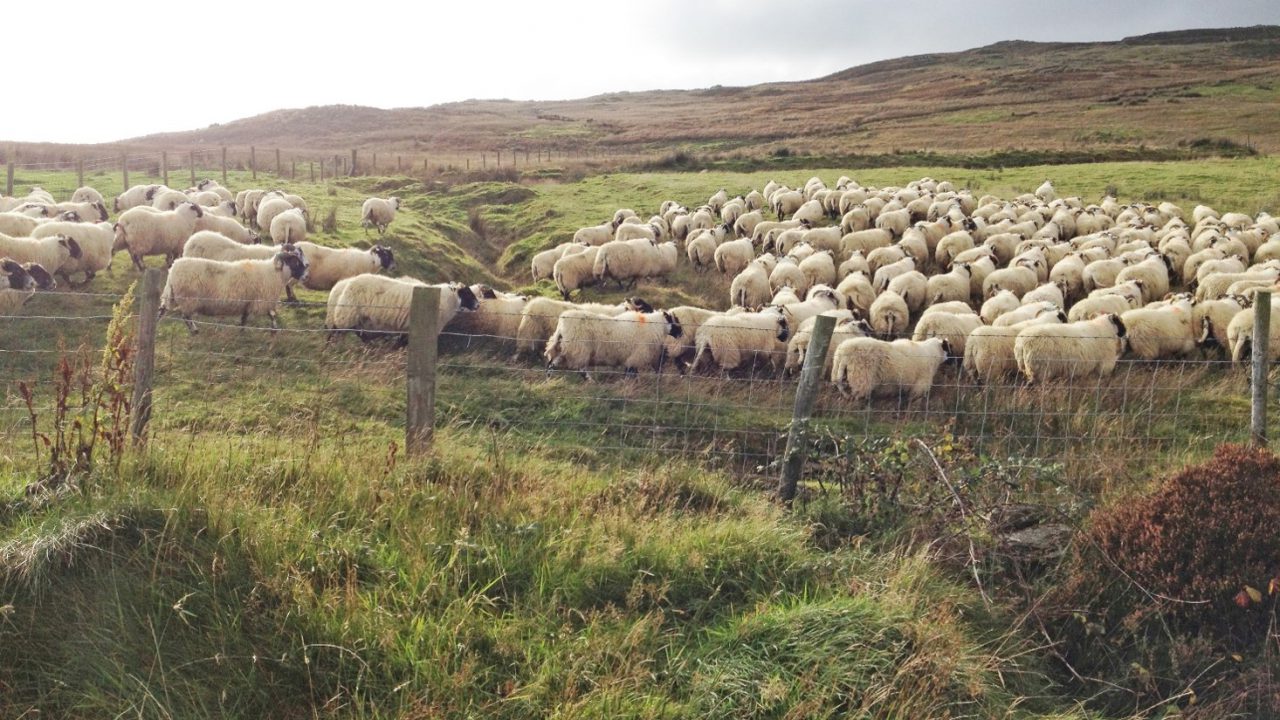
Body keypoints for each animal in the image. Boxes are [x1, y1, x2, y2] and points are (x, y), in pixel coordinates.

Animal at [160, 251, 309, 333]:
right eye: (295, 262)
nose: (306, 276)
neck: (275, 274)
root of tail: (173, 269)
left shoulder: (248, 302)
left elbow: (245, 317)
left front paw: (242, 330)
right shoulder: (261, 299)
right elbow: (271, 315)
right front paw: (274, 329)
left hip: (173, 296)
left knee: (163, 309)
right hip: (188, 299)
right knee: (185, 316)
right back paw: (194, 330)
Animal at [325, 275, 479, 342]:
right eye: (466, 293)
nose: (478, 305)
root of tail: (345, 284)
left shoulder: (406, 330)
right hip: (346, 315)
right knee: (334, 332)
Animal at [545, 309, 683, 374]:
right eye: (674, 320)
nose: (681, 333)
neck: (655, 326)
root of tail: (561, 324)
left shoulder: (631, 358)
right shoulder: (635, 357)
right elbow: (631, 374)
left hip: (564, 348)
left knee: (550, 365)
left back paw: (548, 380)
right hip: (579, 349)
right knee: (581, 370)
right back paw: (591, 383)